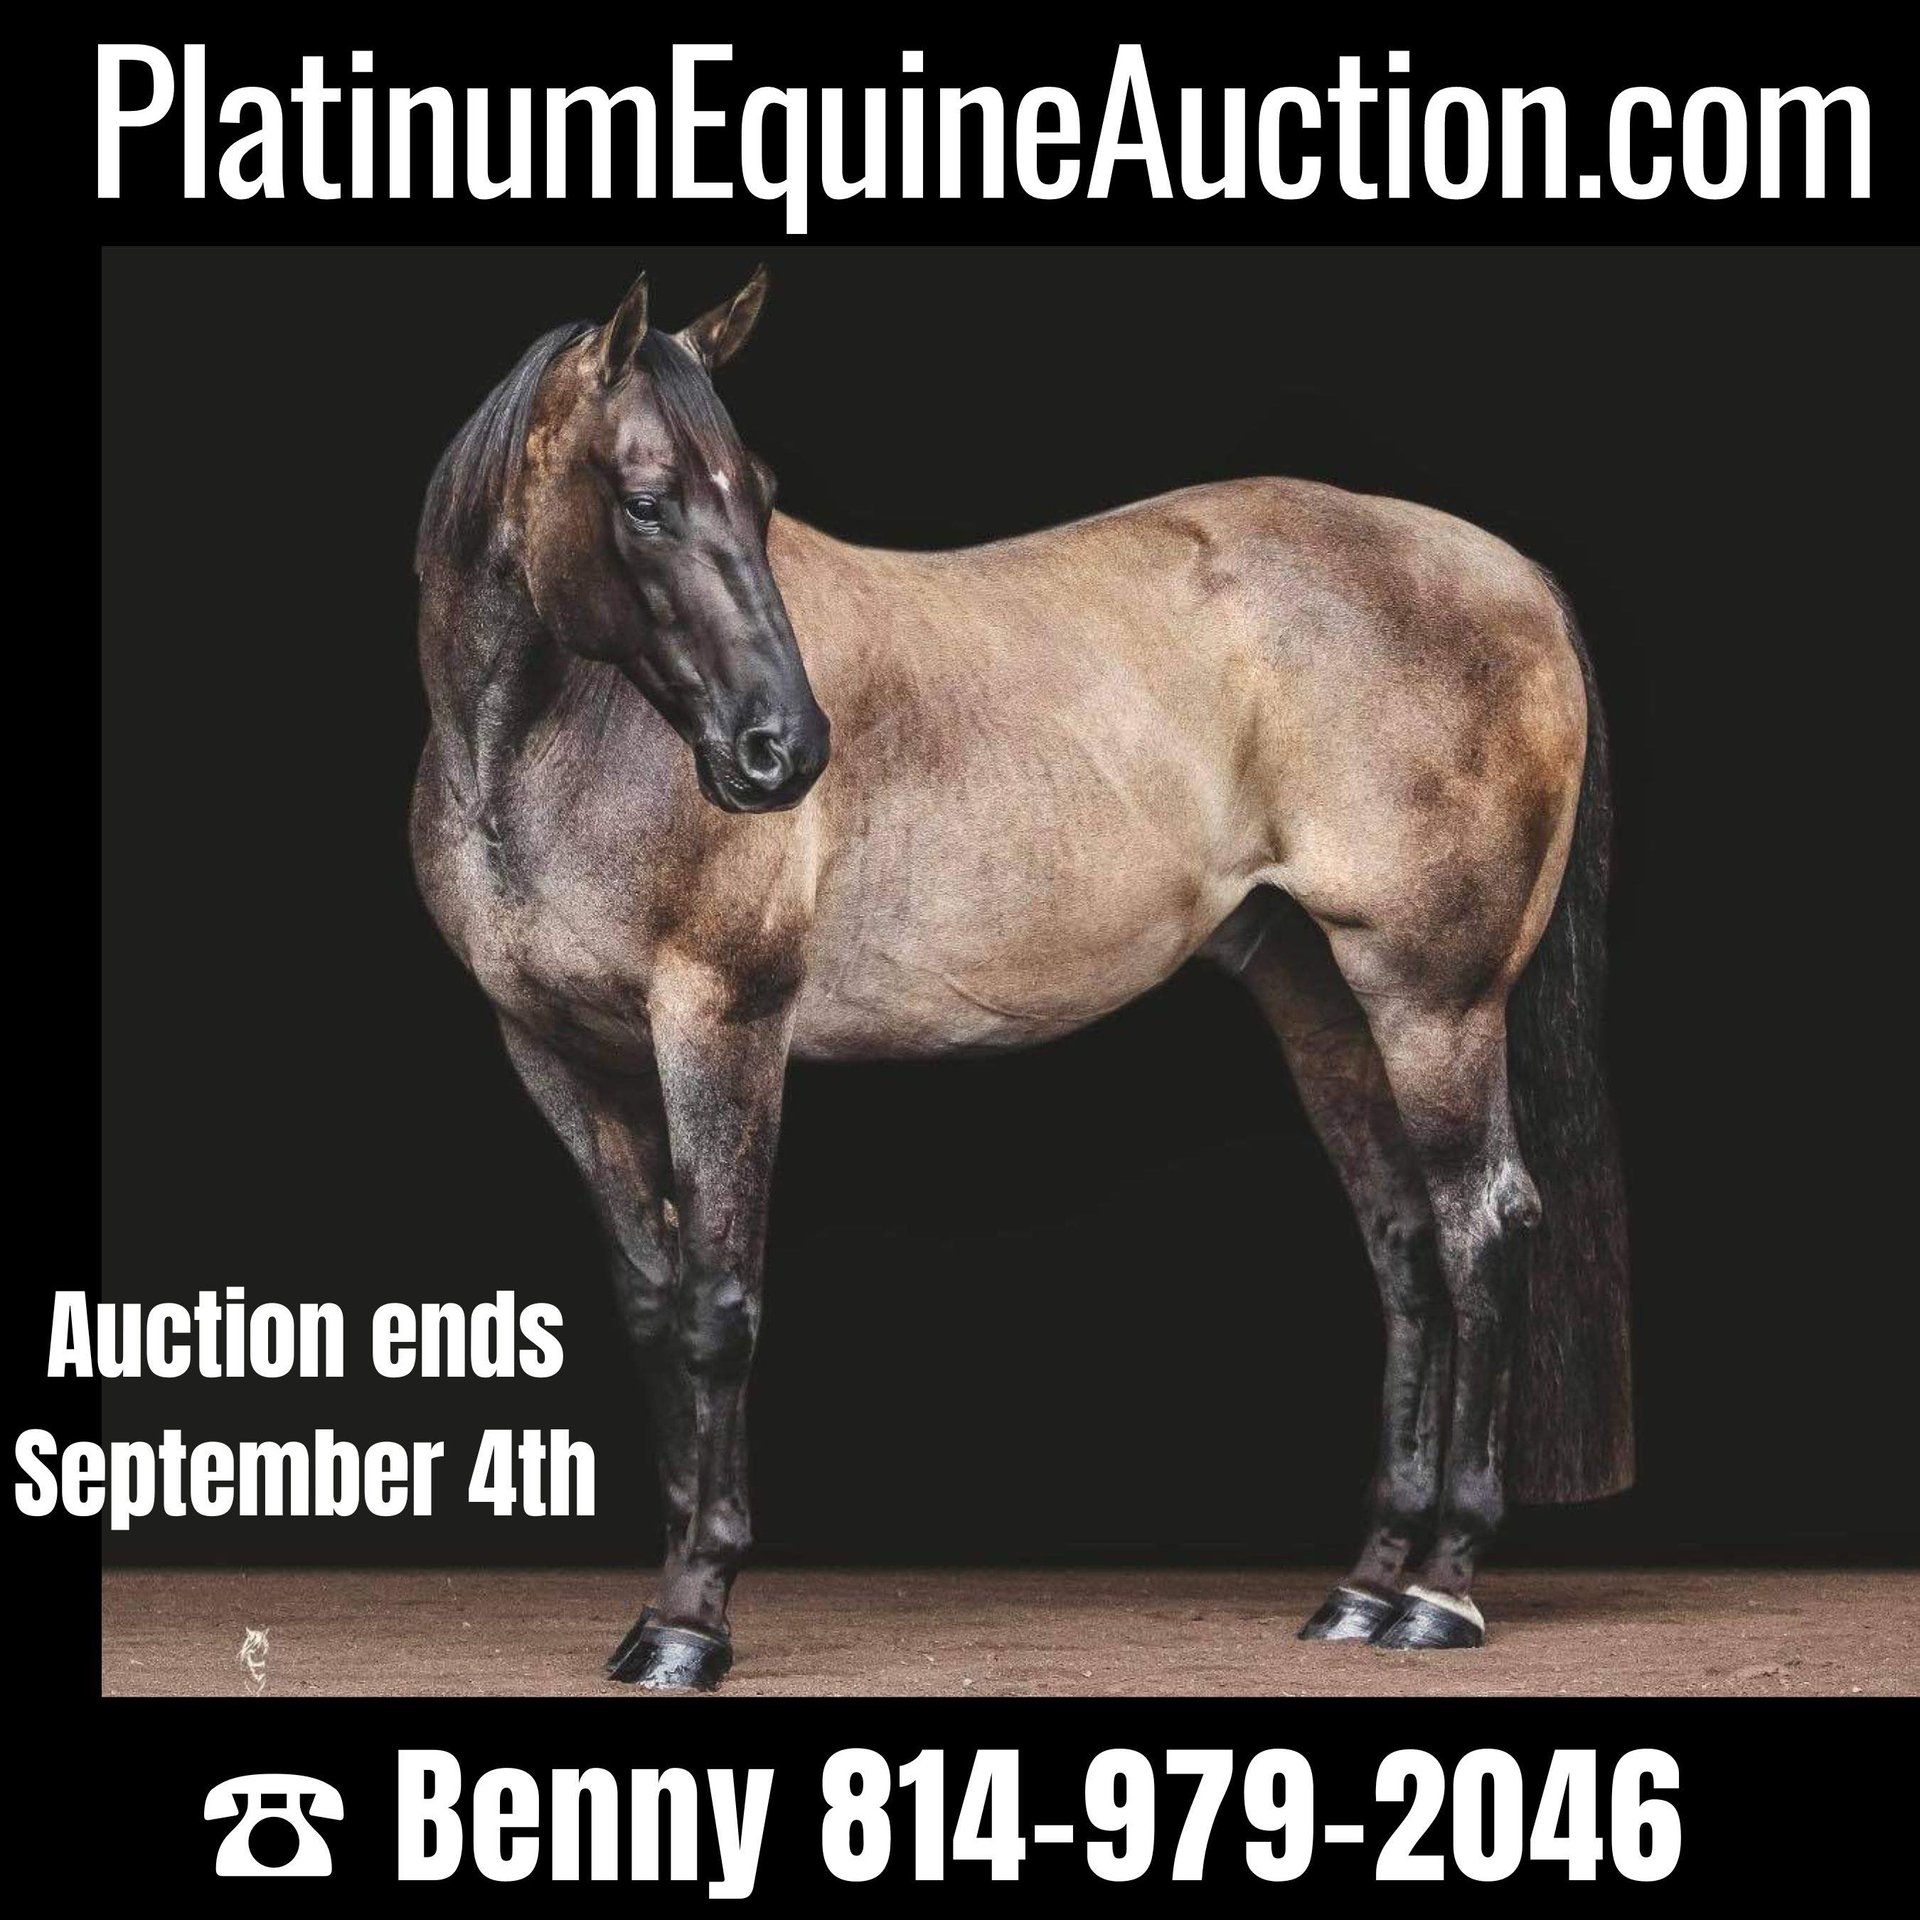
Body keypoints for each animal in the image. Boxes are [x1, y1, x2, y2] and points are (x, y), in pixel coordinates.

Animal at [410, 264, 1631, 1690]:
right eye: (649, 501)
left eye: (758, 497)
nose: (786, 751)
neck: (542, 754)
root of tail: (1512, 572)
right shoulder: (559, 1056)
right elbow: (655, 1306)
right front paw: (660, 1600)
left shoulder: (721, 1023)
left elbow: (717, 1305)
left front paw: (691, 1616)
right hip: (1324, 1000)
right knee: (1407, 1247)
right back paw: (1366, 1585)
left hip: (1434, 1002)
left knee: (1483, 1227)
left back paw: (1442, 1589)